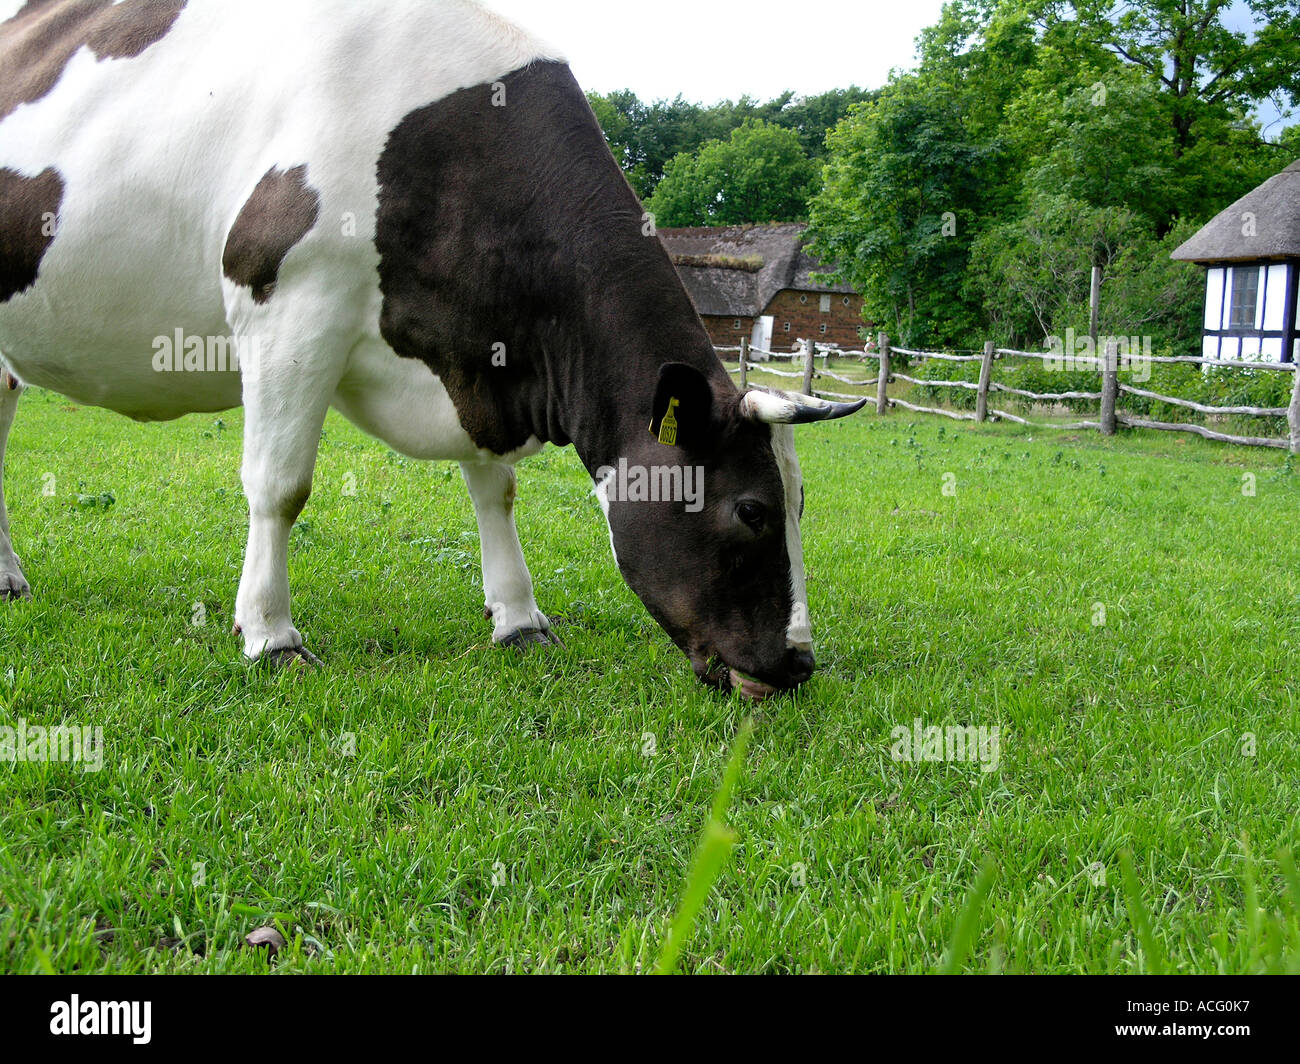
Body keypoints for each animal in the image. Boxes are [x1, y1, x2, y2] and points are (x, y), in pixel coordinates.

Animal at [0, 0, 864, 699]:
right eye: (751, 510)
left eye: (801, 505)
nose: (798, 664)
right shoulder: (289, 307)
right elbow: (279, 488)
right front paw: (271, 636)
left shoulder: (481, 358)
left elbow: (496, 491)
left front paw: (519, 619)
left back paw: (9, 578)